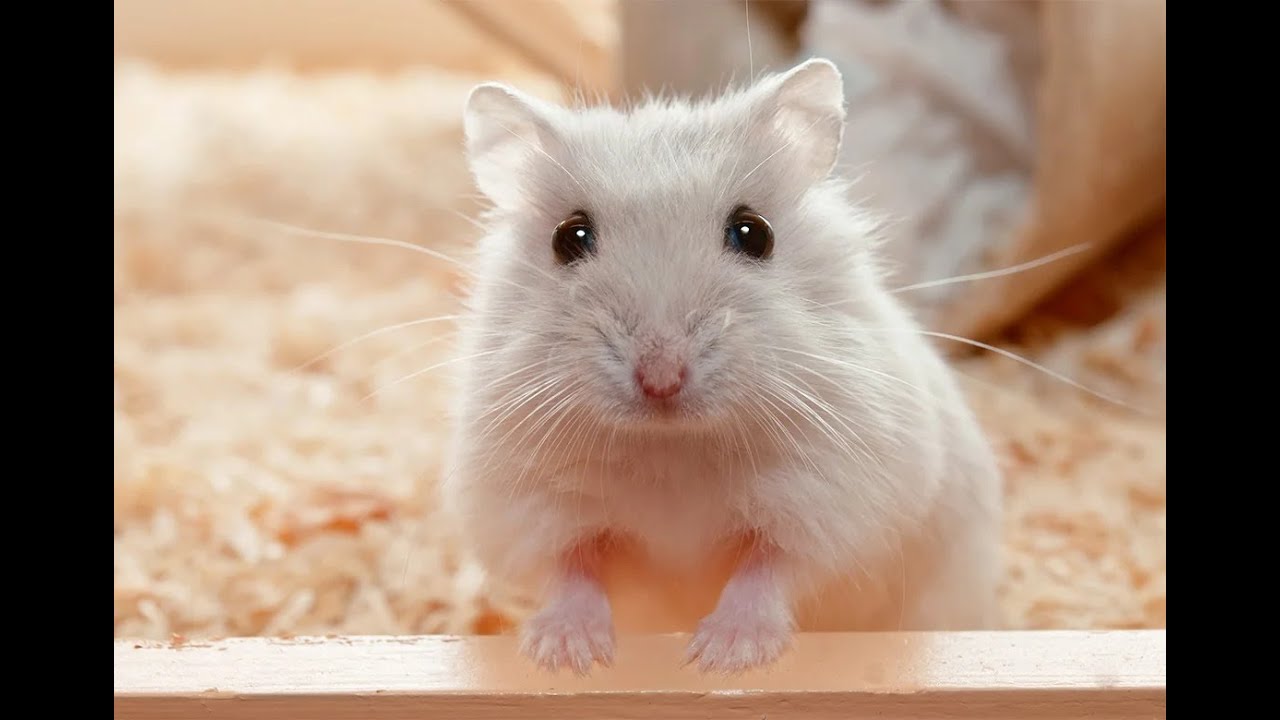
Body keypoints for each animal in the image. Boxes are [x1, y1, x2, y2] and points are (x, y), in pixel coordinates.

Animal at [442, 58, 1003, 676]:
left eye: (754, 232)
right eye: (570, 237)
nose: (661, 378)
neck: (672, 448)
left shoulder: (835, 501)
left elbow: (770, 569)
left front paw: (721, 656)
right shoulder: (527, 507)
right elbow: (571, 569)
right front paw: (568, 656)